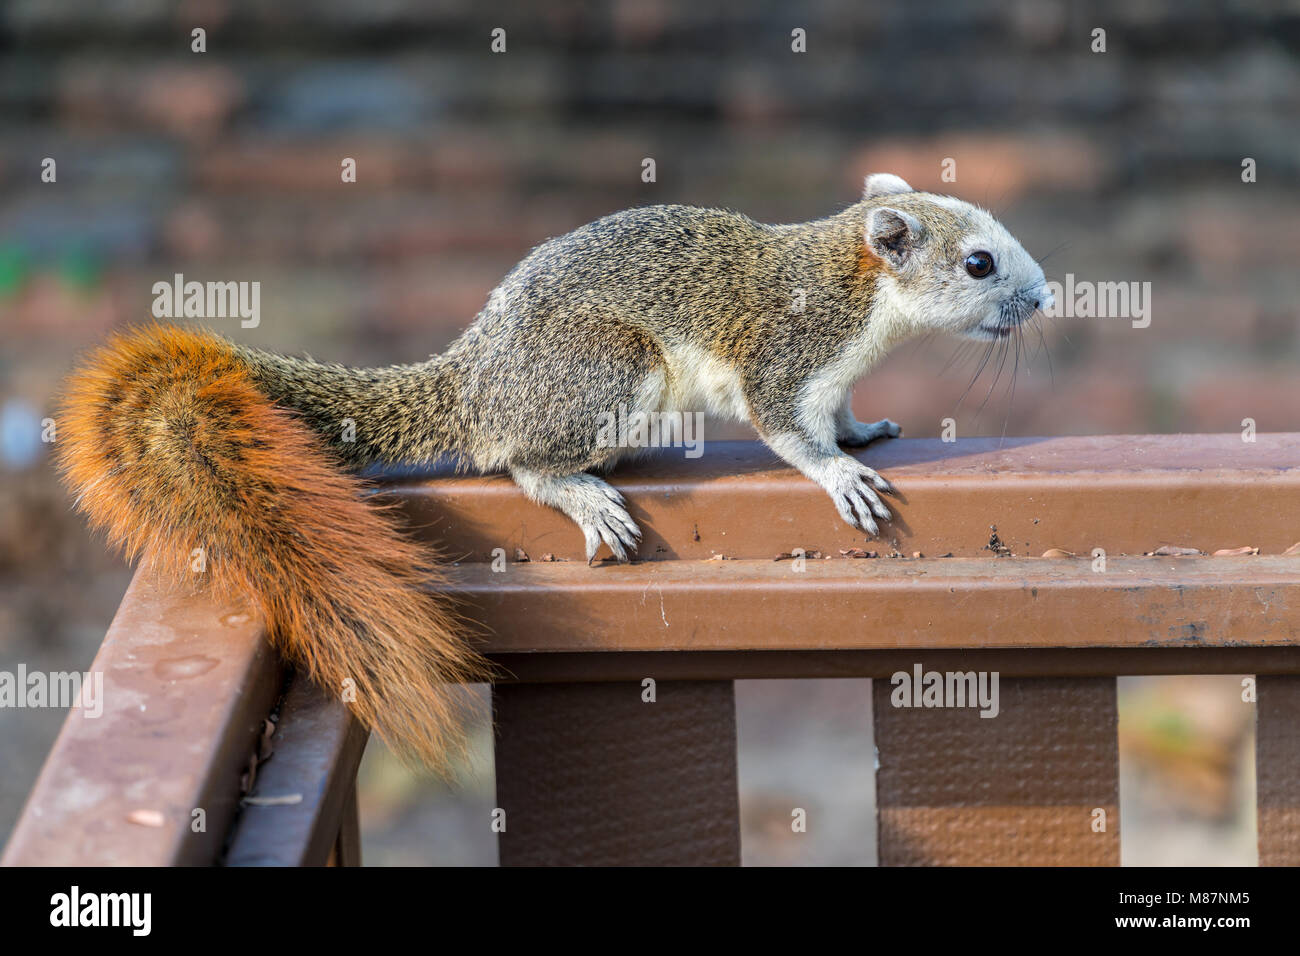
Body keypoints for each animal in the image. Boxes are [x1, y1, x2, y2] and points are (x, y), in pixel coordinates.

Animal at [57, 173, 1052, 768]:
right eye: (979, 262)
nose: (1045, 296)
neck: (859, 293)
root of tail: (475, 384)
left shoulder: (831, 376)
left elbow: (839, 417)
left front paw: (868, 432)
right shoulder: (787, 358)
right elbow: (791, 433)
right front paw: (837, 475)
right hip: (608, 370)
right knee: (519, 461)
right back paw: (577, 486)